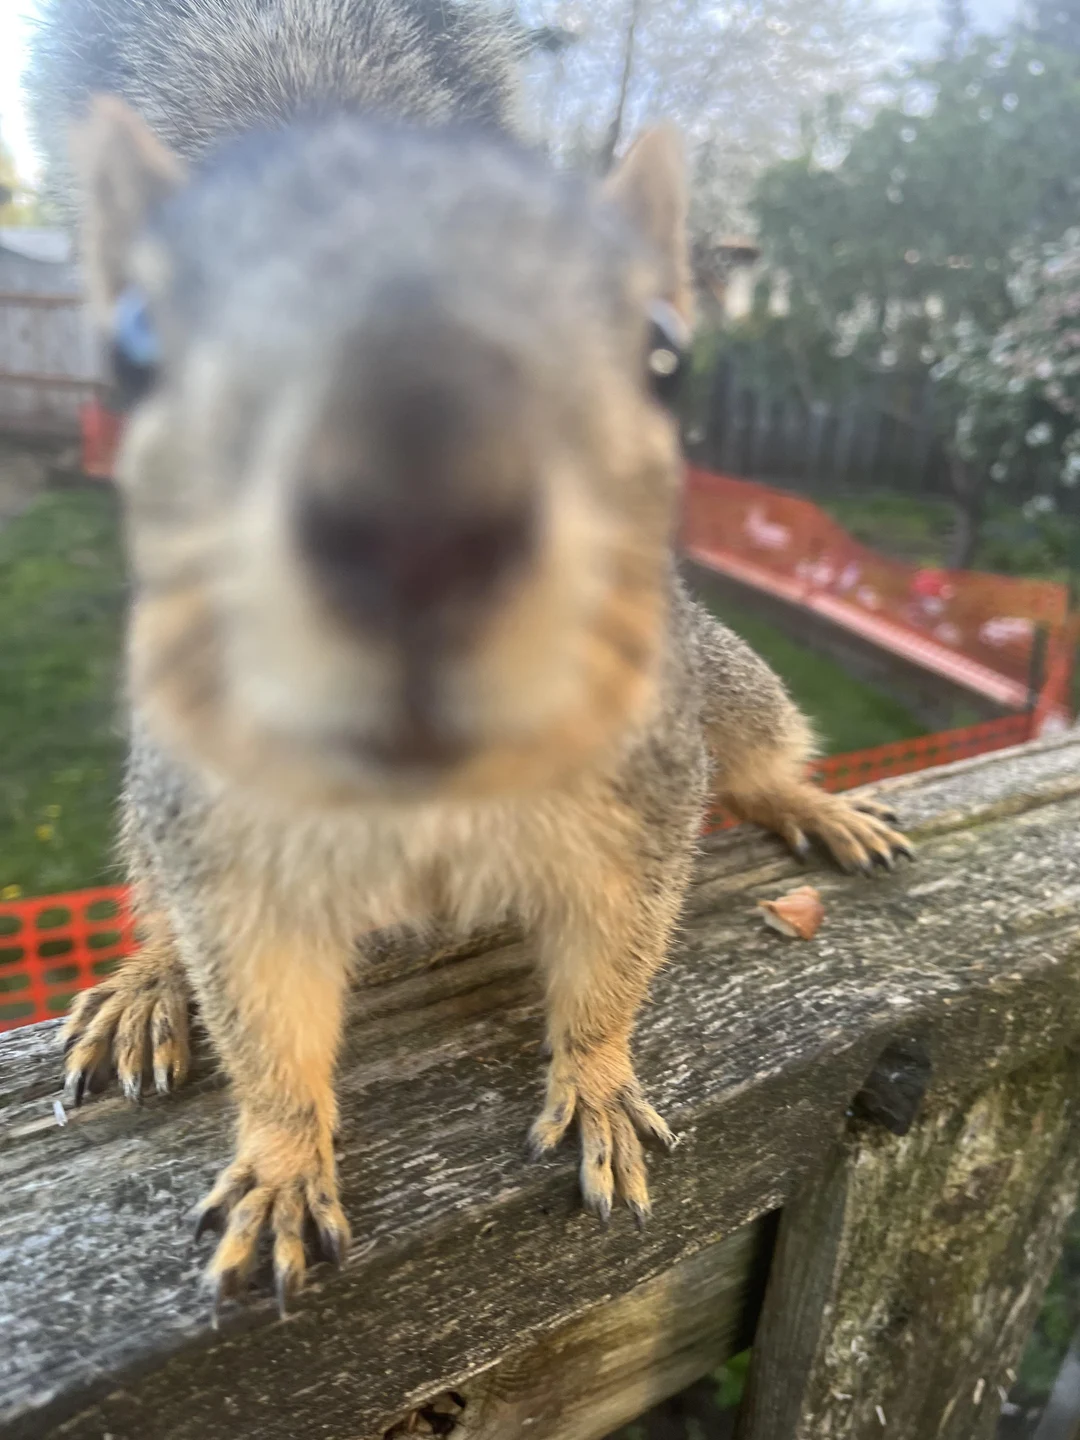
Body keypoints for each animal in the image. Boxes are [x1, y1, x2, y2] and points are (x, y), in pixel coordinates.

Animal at [32, 0, 913, 1313]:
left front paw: (595, 1085)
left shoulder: (640, 803)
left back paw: (818, 806)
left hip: (717, 679)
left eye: (662, 349)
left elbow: (610, 967)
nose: (419, 526)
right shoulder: (234, 851)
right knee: (155, 897)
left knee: (757, 759)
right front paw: (282, 1165)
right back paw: (144, 986)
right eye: (139, 344)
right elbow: (264, 1018)